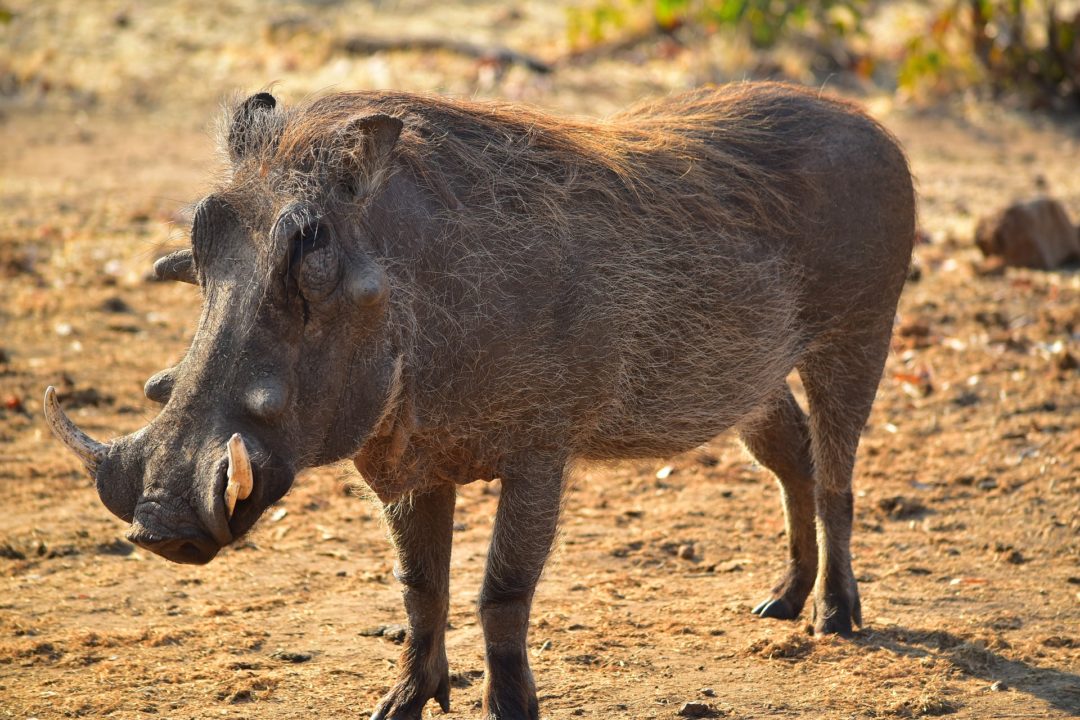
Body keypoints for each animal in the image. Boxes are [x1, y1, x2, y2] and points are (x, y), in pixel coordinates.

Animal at [45, 82, 915, 719]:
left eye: (311, 248)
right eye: (201, 240)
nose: (160, 522)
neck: (419, 290)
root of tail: (867, 120)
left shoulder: (539, 453)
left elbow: (501, 593)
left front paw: (511, 709)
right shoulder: (407, 466)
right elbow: (421, 588)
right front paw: (401, 704)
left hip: (859, 336)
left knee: (837, 476)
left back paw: (835, 617)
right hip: (751, 381)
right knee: (792, 458)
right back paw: (780, 603)